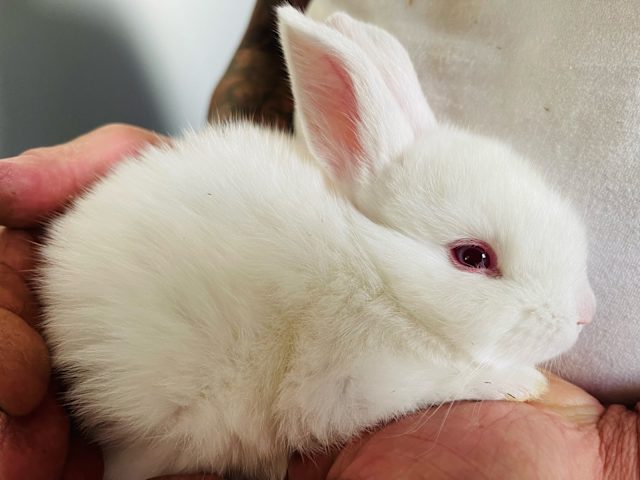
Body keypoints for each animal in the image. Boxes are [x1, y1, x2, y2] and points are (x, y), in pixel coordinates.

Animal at [38, 6, 596, 480]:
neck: (380, 271)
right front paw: (520, 382)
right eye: (474, 257)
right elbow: (442, 381)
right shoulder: (352, 383)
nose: (584, 314)